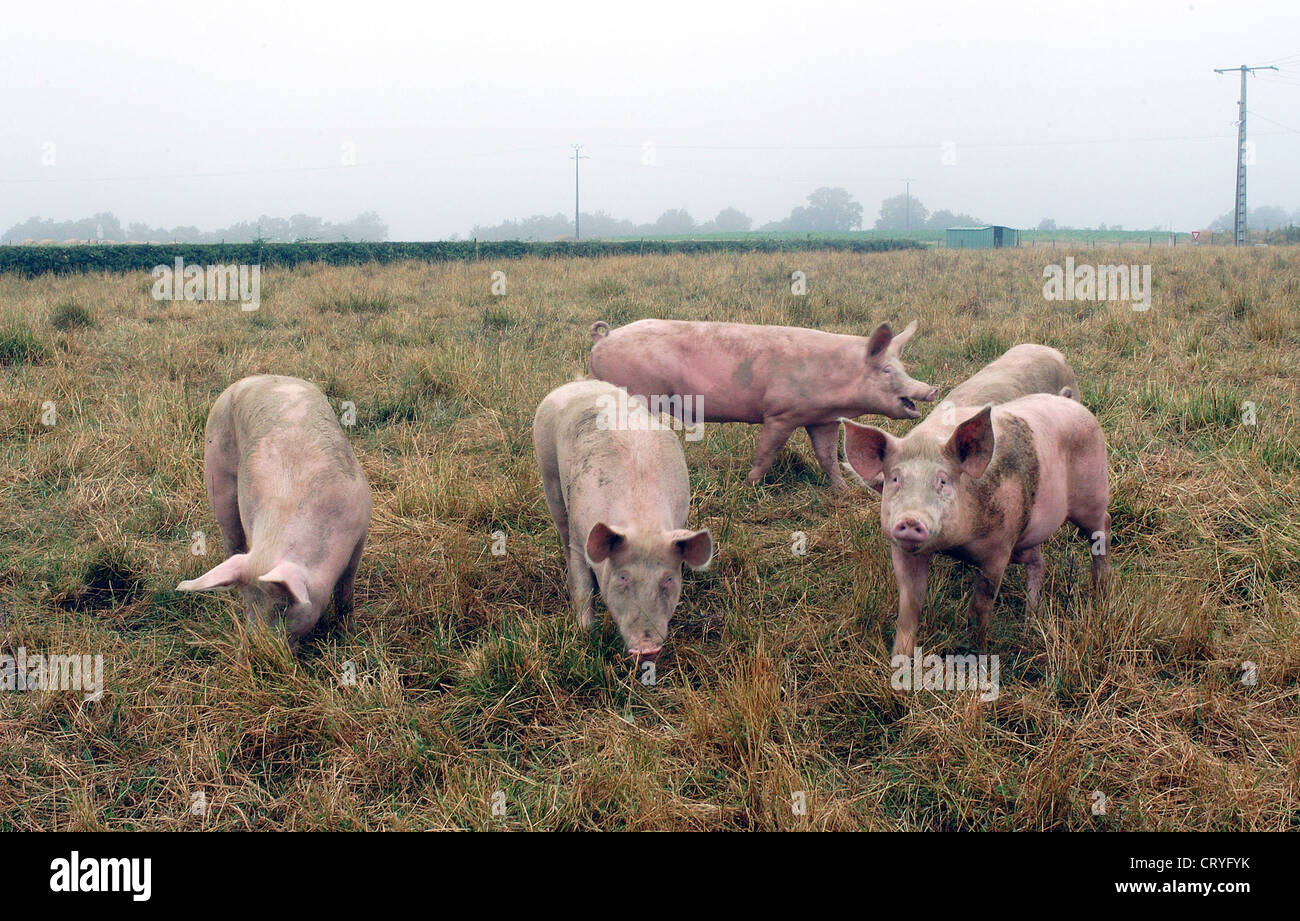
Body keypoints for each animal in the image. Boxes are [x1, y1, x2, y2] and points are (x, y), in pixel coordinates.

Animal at [176, 375, 372, 649]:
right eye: (248, 603)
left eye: (282, 607)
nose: (259, 647)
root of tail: (252, 379)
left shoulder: (360, 530)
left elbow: (346, 591)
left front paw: (349, 633)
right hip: (216, 472)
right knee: (230, 538)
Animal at [533, 379, 713, 661]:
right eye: (623, 578)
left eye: (668, 579)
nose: (647, 648)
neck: (642, 522)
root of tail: (579, 382)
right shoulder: (580, 537)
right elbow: (583, 584)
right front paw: (587, 634)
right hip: (548, 473)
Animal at [589, 318, 937, 492]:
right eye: (887, 370)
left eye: (902, 366)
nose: (931, 389)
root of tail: (602, 339)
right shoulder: (781, 413)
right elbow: (767, 452)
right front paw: (750, 485)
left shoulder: (822, 419)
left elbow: (827, 457)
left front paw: (844, 491)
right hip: (637, 395)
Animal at [841, 392, 1110, 656]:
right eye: (896, 479)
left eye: (943, 481)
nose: (910, 520)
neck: (954, 546)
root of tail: (1073, 404)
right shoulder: (903, 550)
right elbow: (909, 607)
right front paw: (899, 660)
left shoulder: (999, 549)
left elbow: (980, 607)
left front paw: (977, 653)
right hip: (1028, 533)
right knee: (1038, 563)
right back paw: (1030, 620)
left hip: (1092, 495)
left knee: (1102, 529)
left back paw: (1100, 592)